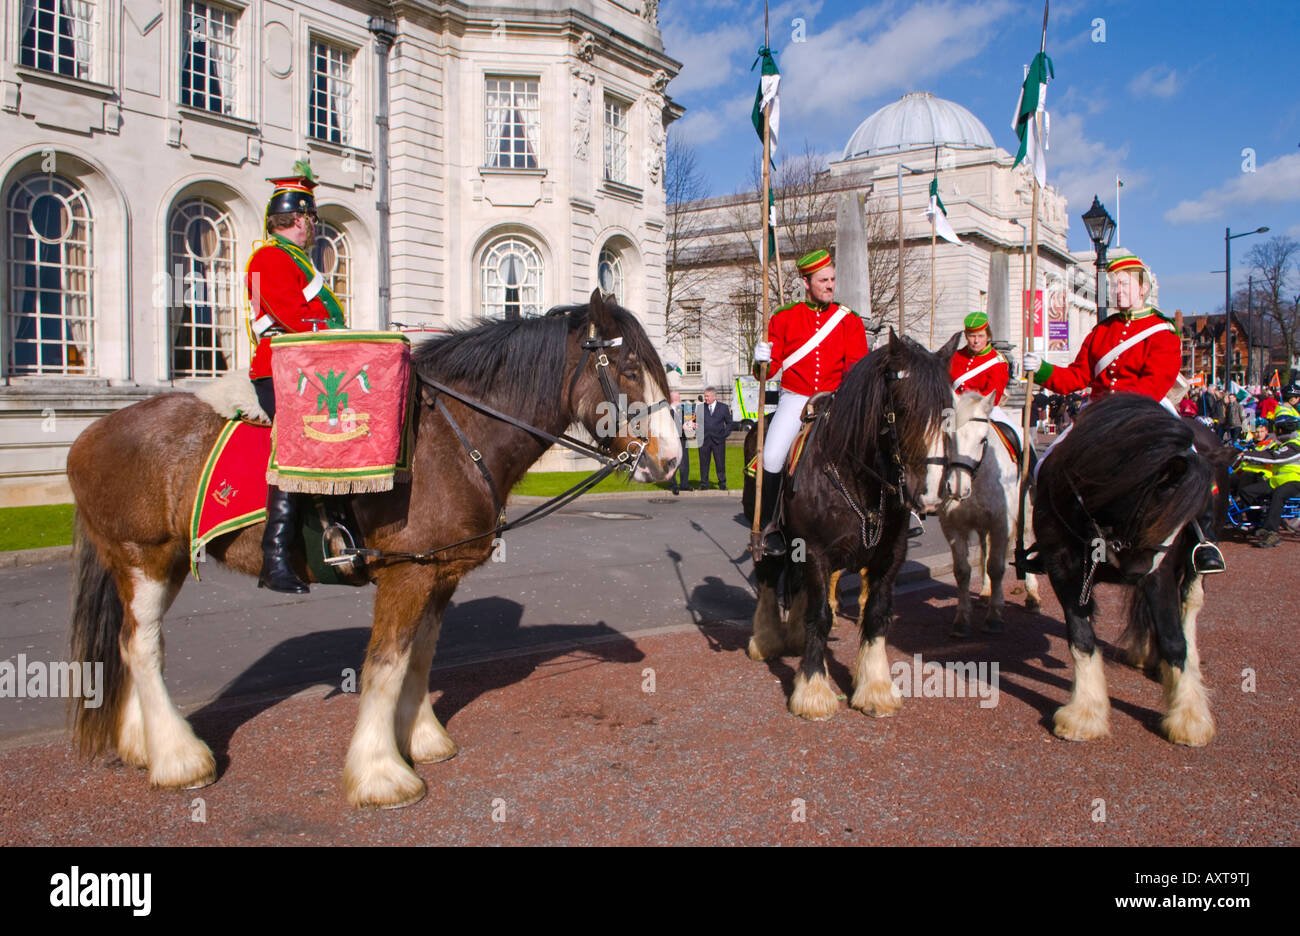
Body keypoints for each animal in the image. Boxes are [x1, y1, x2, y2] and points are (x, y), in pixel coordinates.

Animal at [66, 290, 681, 808]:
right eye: (630, 370)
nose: (672, 459)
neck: (449, 440)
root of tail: (90, 434)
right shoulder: (406, 576)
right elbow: (385, 666)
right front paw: (381, 773)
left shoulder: (438, 574)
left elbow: (420, 658)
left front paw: (423, 738)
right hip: (144, 558)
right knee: (143, 647)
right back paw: (178, 758)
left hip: (157, 563)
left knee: (129, 644)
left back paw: (141, 746)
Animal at [743, 331, 994, 720]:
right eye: (902, 408)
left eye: (948, 414)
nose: (930, 494)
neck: (858, 476)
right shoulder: (816, 552)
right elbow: (821, 614)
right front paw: (813, 691)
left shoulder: (890, 556)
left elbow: (875, 615)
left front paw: (875, 688)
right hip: (773, 535)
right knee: (770, 573)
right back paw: (766, 639)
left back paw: (795, 637)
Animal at [937, 405, 1041, 638]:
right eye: (948, 436)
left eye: (982, 439)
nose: (957, 488)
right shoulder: (952, 527)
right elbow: (962, 571)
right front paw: (961, 621)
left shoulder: (1001, 524)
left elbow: (996, 567)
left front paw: (994, 618)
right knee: (985, 548)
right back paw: (985, 592)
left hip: (1026, 511)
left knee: (1026, 542)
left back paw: (1032, 596)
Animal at [1032, 393, 1232, 745]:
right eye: (1160, 504)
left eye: (1195, 508)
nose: (1135, 572)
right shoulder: (1064, 570)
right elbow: (1081, 637)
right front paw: (1085, 713)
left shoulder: (1159, 573)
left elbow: (1173, 639)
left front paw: (1189, 718)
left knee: (1189, 606)